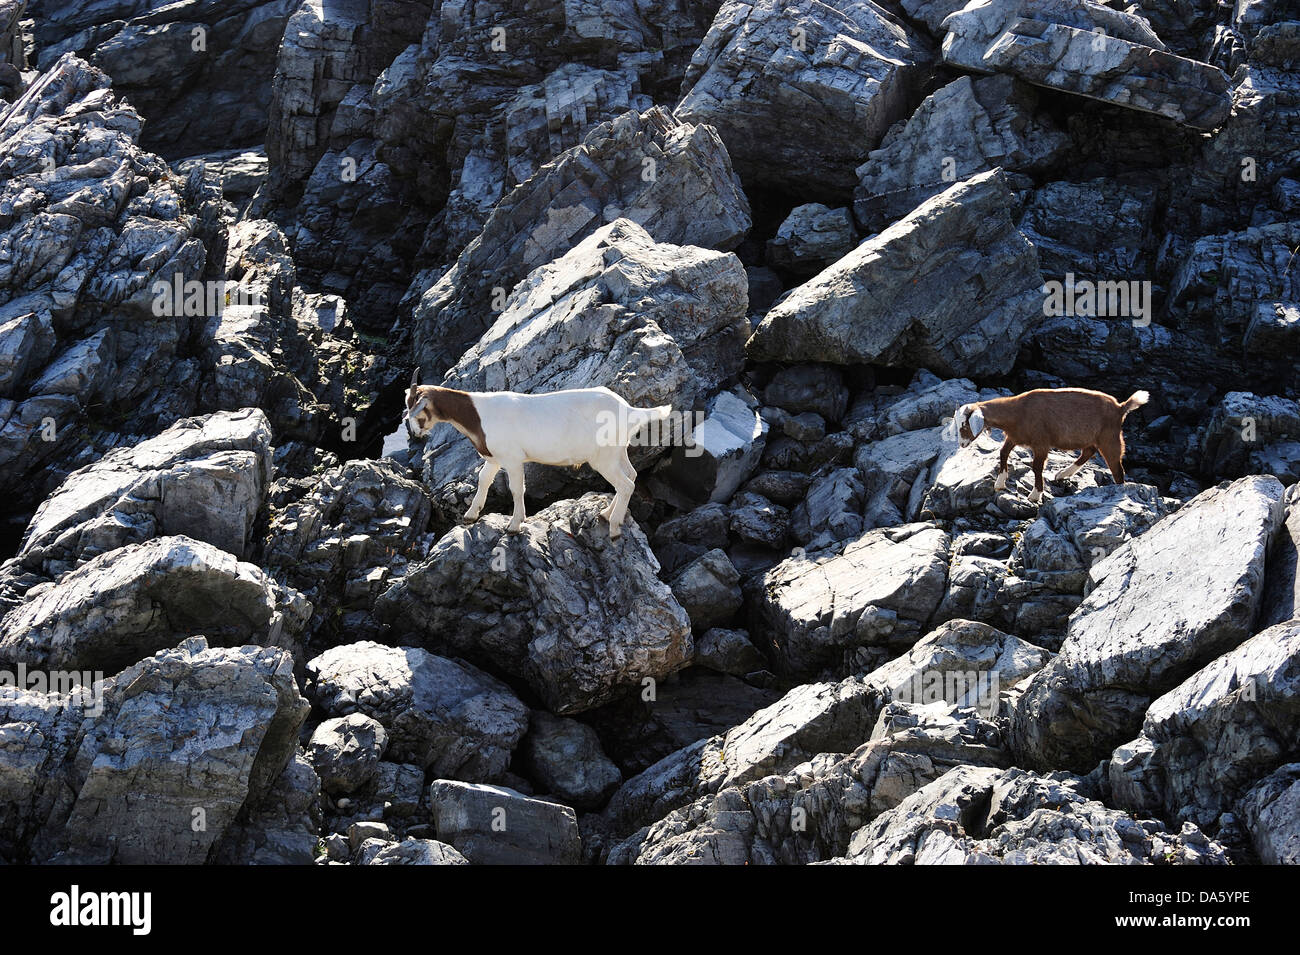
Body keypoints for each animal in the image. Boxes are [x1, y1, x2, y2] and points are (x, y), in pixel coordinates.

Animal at [405, 369, 673, 537]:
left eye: (417, 409)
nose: (415, 433)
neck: (478, 414)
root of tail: (629, 409)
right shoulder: (494, 458)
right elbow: (483, 480)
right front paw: (471, 515)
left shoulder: (512, 459)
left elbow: (516, 489)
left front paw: (514, 524)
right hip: (616, 451)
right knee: (632, 475)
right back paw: (607, 514)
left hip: (603, 457)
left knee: (626, 484)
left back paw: (614, 526)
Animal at [953, 387, 1150, 504]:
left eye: (964, 425)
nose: (962, 444)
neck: (1018, 412)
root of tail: (1120, 407)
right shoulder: (1014, 437)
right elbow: (1002, 453)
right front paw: (1000, 483)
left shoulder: (1041, 442)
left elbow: (1037, 467)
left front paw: (1035, 494)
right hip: (1092, 436)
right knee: (1088, 450)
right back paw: (1062, 474)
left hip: (1110, 437)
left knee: (1117, 468)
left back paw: (1116, 489)